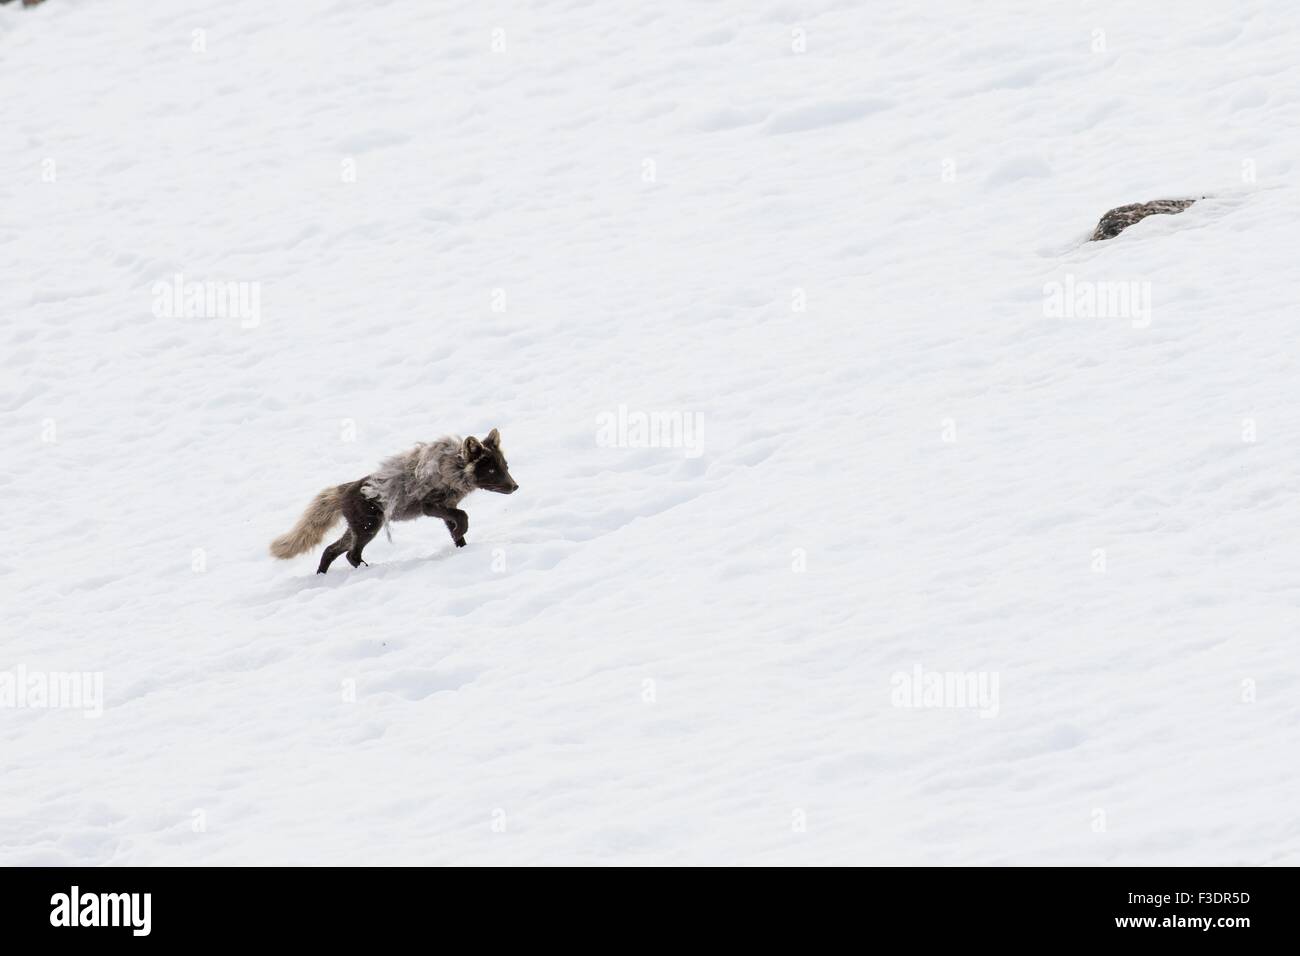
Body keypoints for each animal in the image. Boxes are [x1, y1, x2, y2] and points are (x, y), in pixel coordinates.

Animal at [270, 429, 518, 573]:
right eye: (492, 470)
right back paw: (367, 570)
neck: (451, 470)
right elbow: (463, 518)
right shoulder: (430, 506)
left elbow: (457, 529)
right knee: (351, 555)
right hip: (369, 528)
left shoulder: (448, 507)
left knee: (330, 550)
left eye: (505, 466)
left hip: (357, 530)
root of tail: (344, 489)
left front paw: (462, 548)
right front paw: (460, 535)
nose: (515, 486)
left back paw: (321, 577)